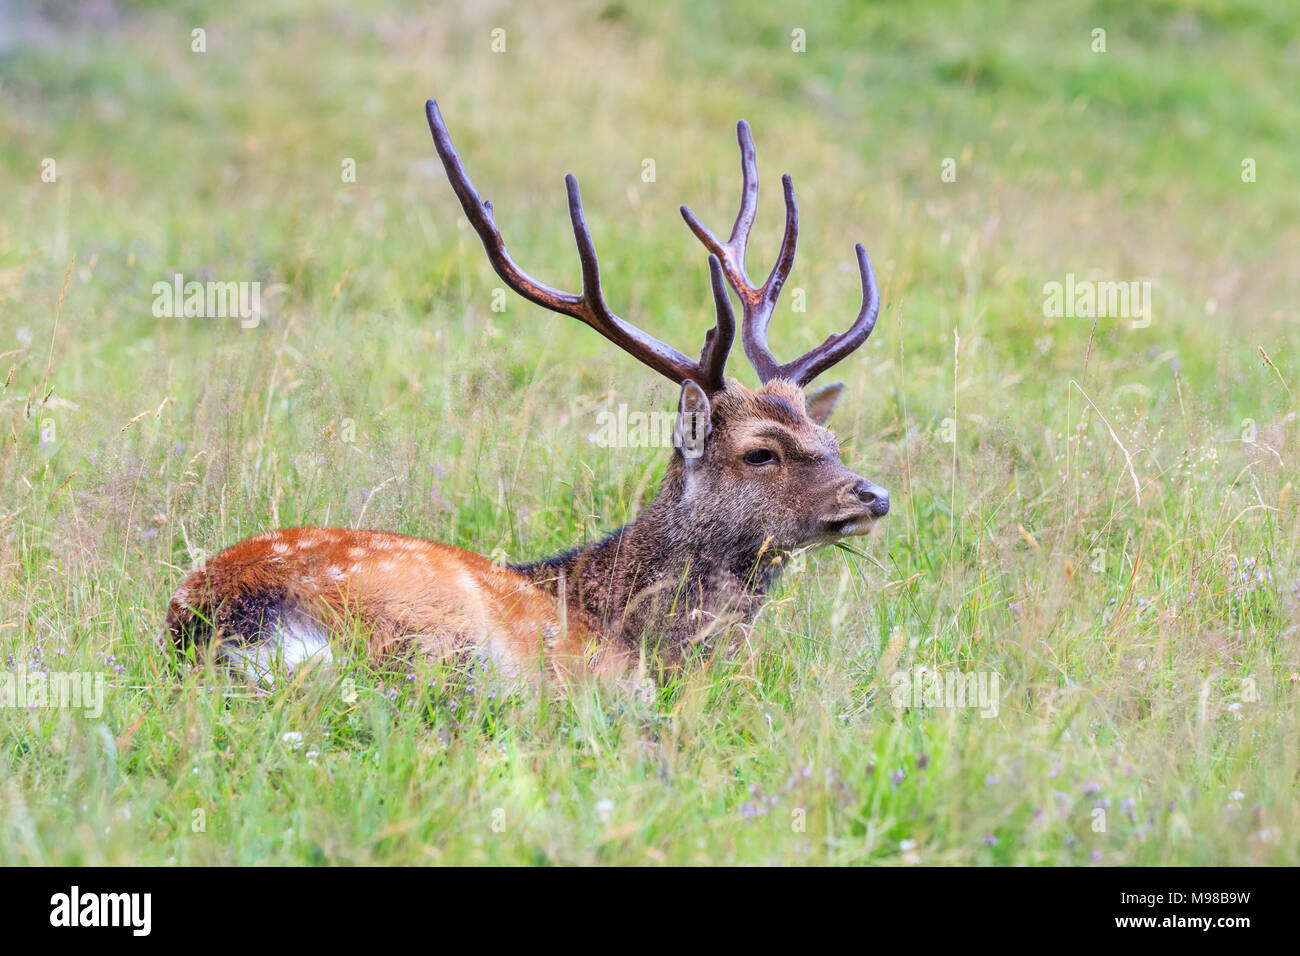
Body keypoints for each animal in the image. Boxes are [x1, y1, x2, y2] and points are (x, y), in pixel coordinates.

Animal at [162, 99, 889, 686]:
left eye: (829, 437)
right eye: (760, 451)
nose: (873, 494)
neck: (623, 619)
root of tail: (215, 618)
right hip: (438, 624)